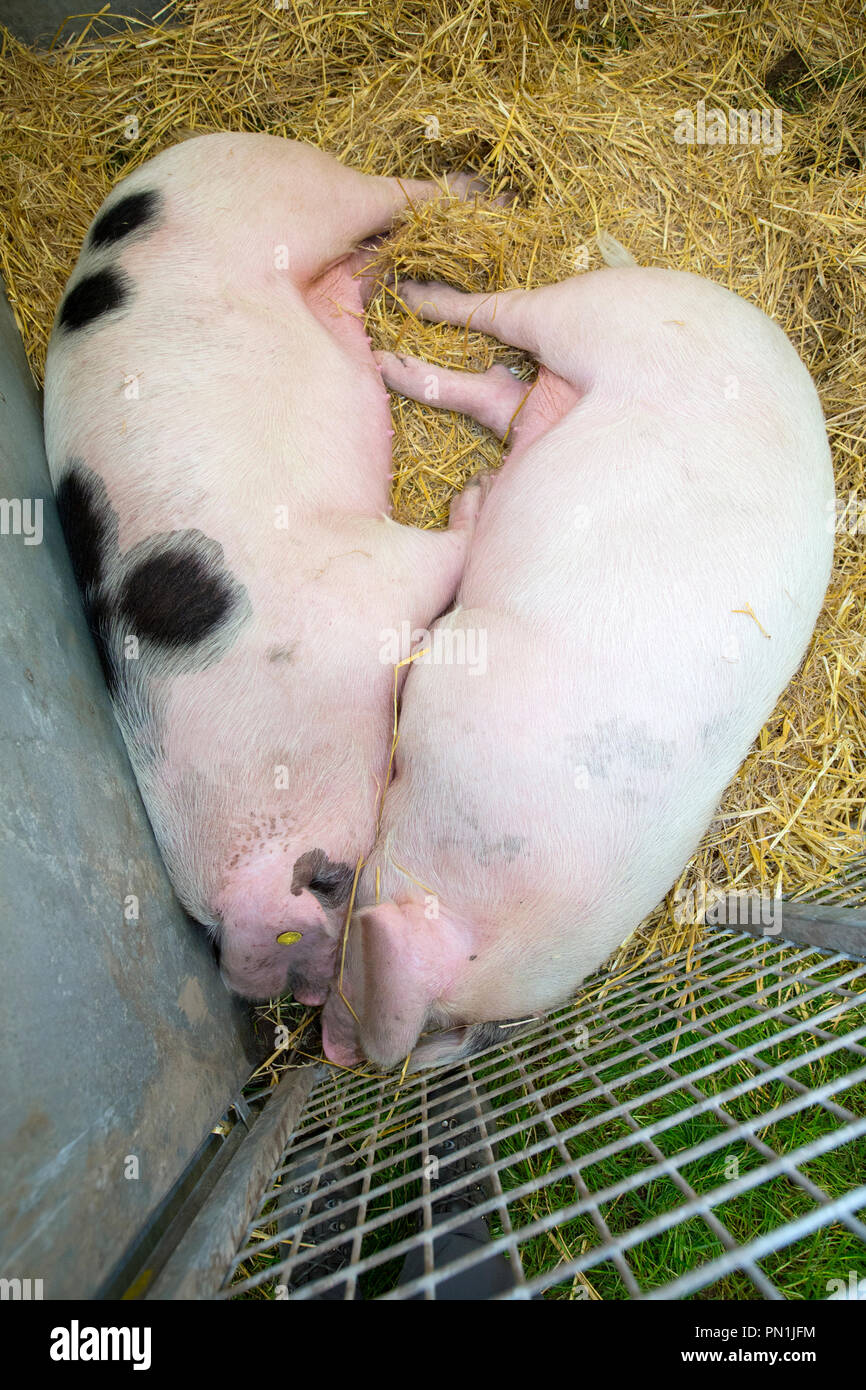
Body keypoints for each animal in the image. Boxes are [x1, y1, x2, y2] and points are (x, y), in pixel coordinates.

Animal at [43, 132, 492, 1004]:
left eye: (322, 885)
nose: (320, 999)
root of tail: (156, 166)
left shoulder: (361, 581)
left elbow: (442, 551)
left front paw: (481, 495)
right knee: (349, 280)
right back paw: (392, 272)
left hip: (294, 192)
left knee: (388, 191)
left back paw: (478, 187)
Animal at [321, 265, 835, 1069]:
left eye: (427, 1024)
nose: (334, 1049)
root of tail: (753, 318)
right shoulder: (453, 671)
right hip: (599, 316)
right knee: (501, 318)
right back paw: (410, 300)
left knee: (506, 399)